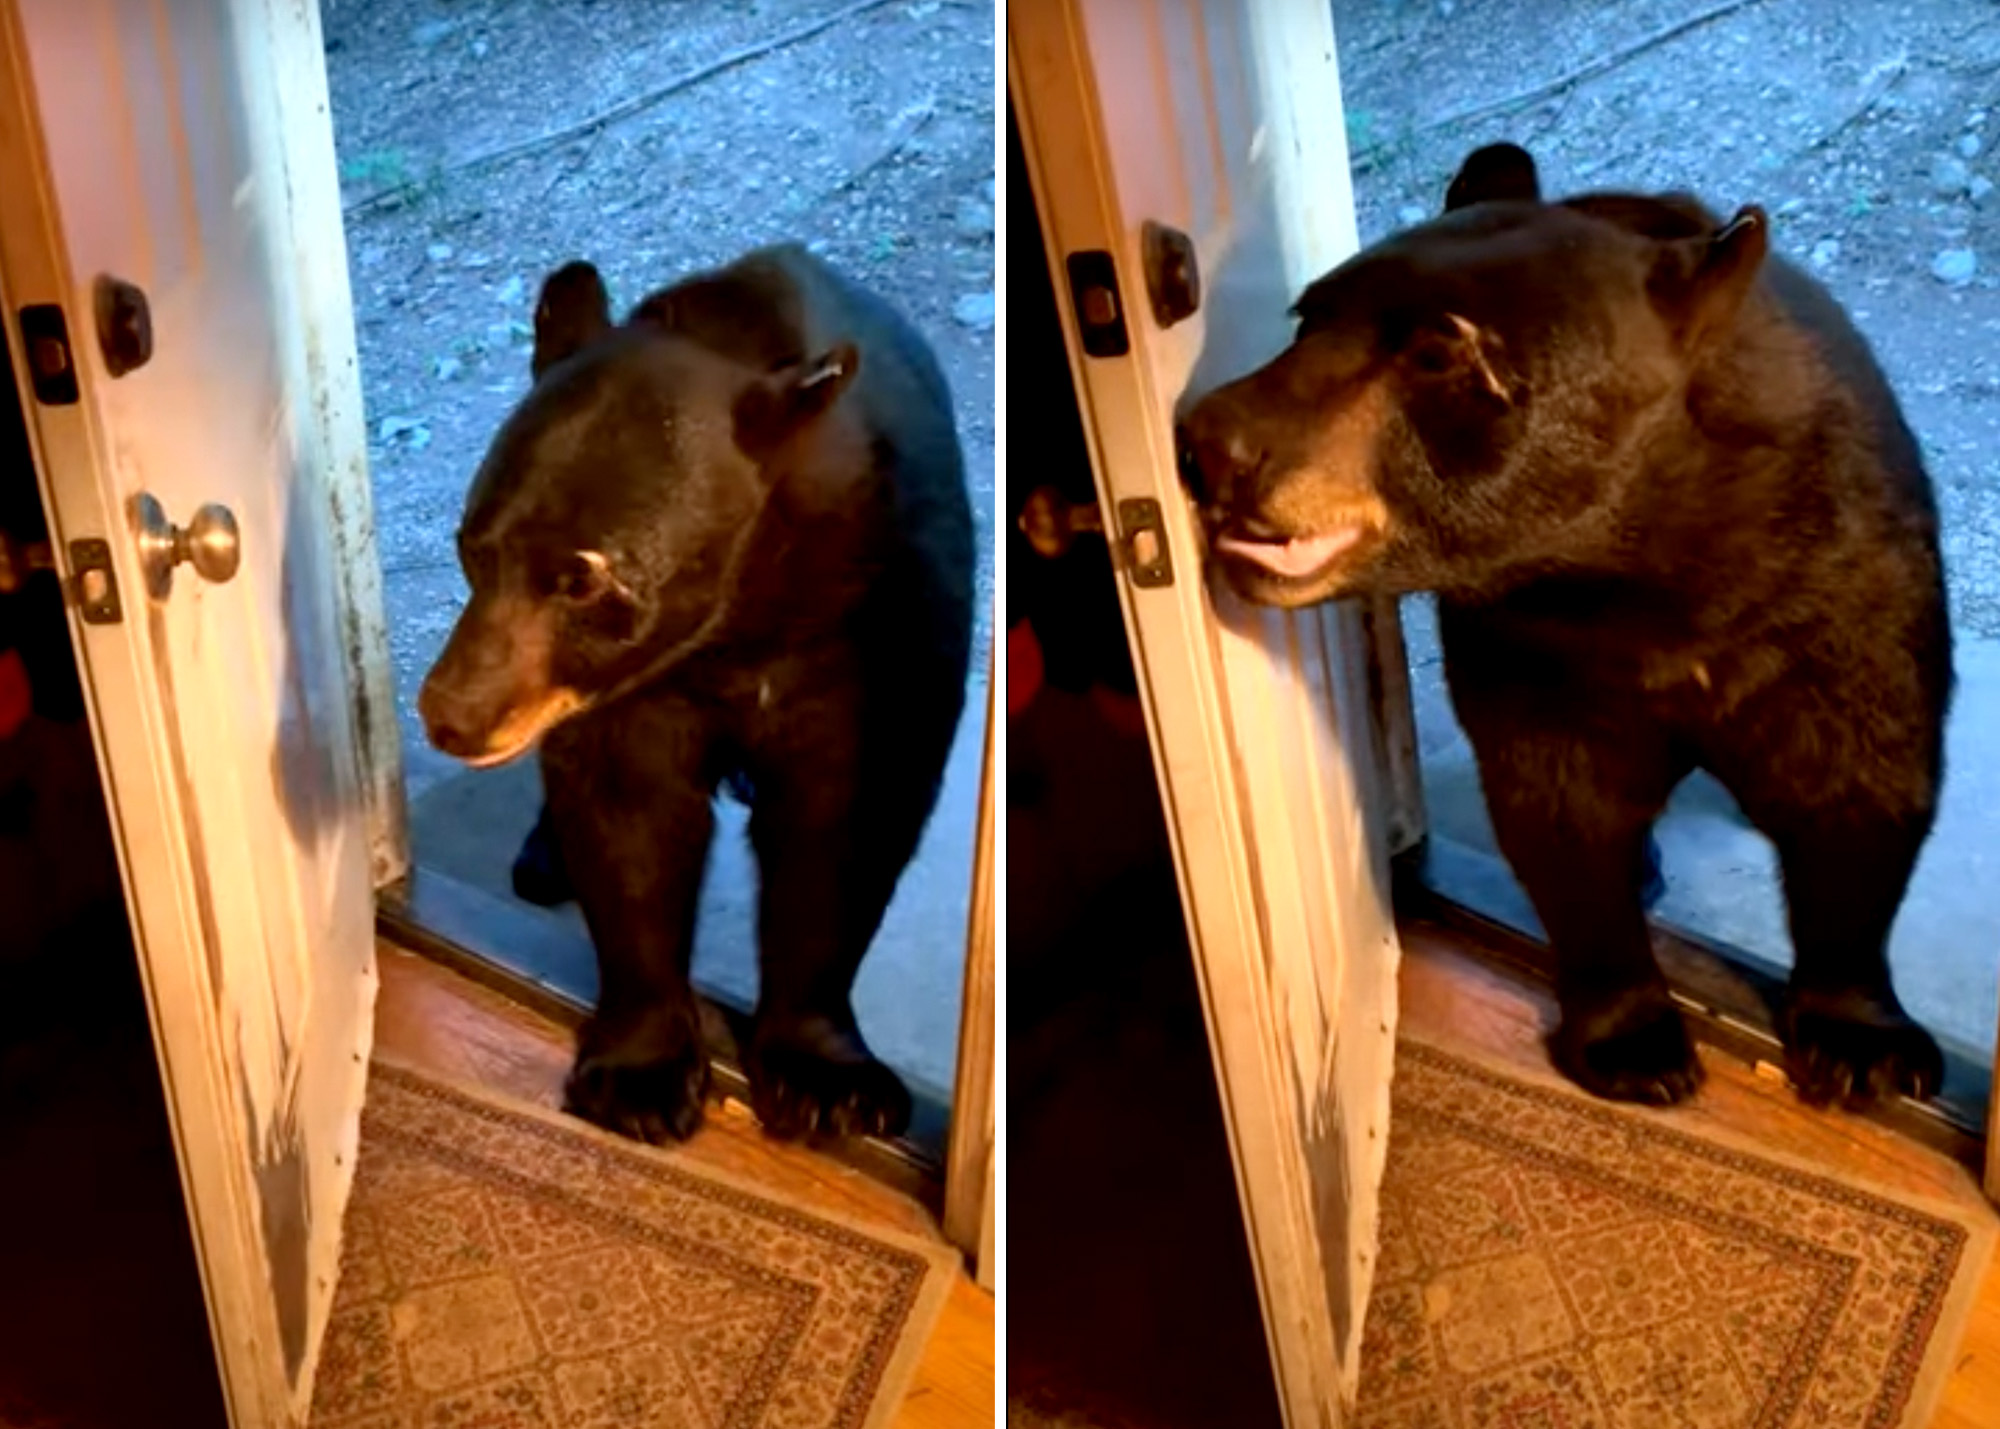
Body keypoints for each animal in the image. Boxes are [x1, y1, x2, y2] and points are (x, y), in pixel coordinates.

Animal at [417, 244, 973, 1144]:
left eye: (584, 576)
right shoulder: (635, 692)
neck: (744, 621)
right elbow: (632, 815)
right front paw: (640, 1076)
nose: (452, 714)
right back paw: (544, 855)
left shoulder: (878, 626)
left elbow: (844, 813)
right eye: (470, 543)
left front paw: (829, 1082)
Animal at [1178, 143, 1951, 1111]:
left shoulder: (1832, 592)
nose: (1212, 443)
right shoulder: (1534, 649)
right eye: (1308, 313)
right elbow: (1561, 809)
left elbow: (1854, 784)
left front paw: (1862, 1043)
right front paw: (1635, 1043)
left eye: (1437, 349)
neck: (1635, 579)